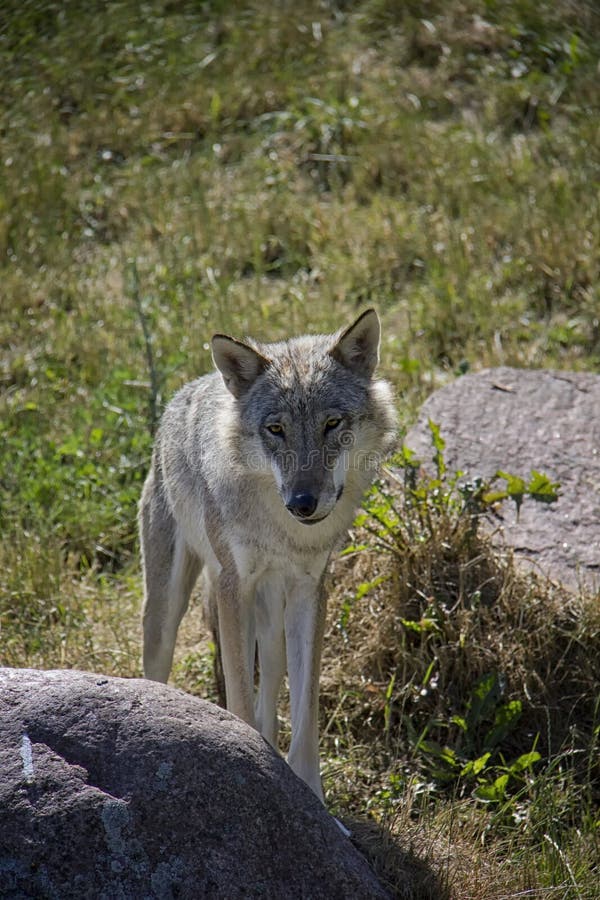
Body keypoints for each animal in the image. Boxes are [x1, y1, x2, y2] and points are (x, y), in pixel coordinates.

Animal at [139, 308, 397, 802]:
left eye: (331, 424)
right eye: (276, 429)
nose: (303, 503)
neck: (283, 532)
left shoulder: (310, 590)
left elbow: (305, 710)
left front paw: (310, 795)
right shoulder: (231, 587)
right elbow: (239, 695)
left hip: (271, 622)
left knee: (271, 688)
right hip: (166, 614)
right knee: (157, 670)